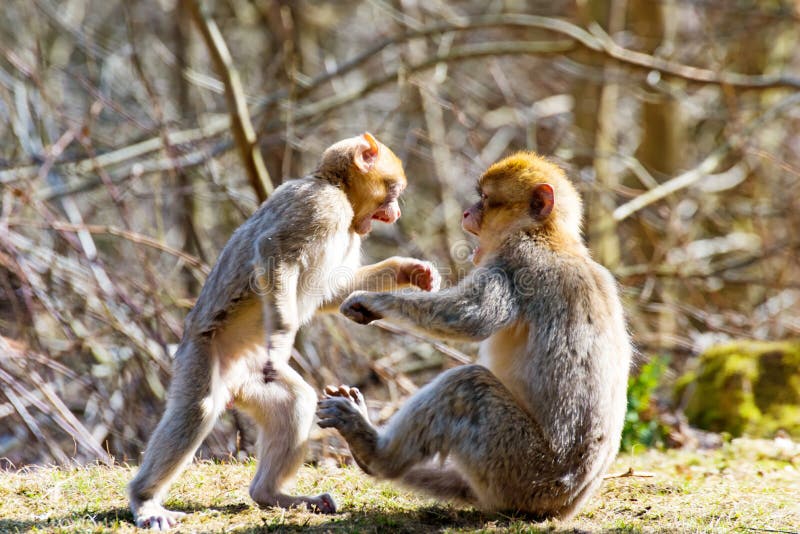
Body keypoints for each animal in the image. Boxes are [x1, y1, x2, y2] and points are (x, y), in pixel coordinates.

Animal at [128, 132, 441, 530]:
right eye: (394, 191)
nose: (397, 212)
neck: (334, 186)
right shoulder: (319, 208)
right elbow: (275, 254)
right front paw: (281, 335)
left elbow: (331, 292)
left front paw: (411, 270)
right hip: (201, 352)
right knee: (198, 408)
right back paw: (145, 500)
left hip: (249, 376)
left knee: (295, 402)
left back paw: (271, 494)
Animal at [317, 152, 632, 520]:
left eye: (484, 198)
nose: (467, 212)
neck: (547, 235)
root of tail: (564, 504)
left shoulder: (516, 261)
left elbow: (471, 319)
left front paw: (374, 301)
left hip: (520, 466)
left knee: (467, 387)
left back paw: (376, 454)